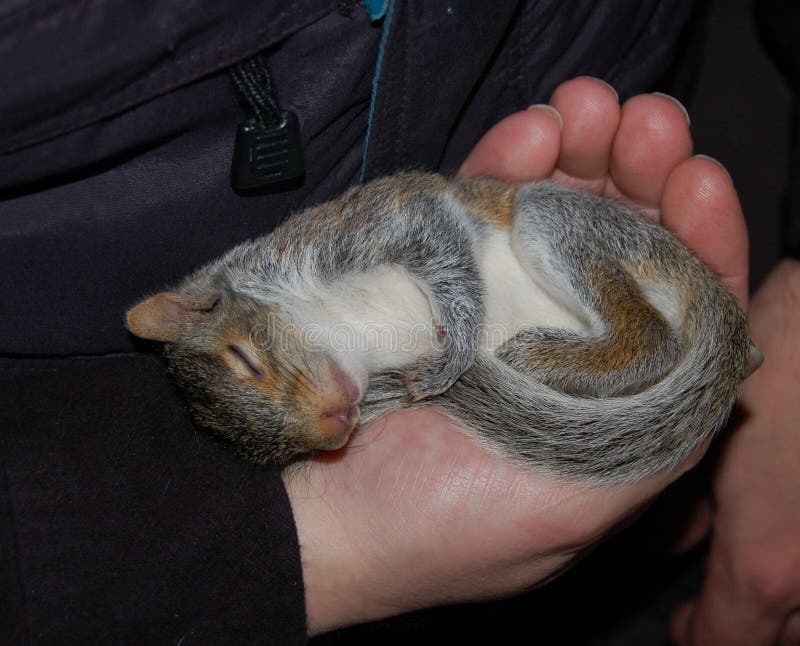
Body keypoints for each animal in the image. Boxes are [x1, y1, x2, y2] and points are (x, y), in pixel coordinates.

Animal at [126, 172, 760, 483]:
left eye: (244, 359)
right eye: (270, 452)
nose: (336, 423)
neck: (348, 334)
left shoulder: (366, 228)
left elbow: (444, 251)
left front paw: (453, 355)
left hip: (561, 221)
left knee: (649, 336)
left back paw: (544, 356)